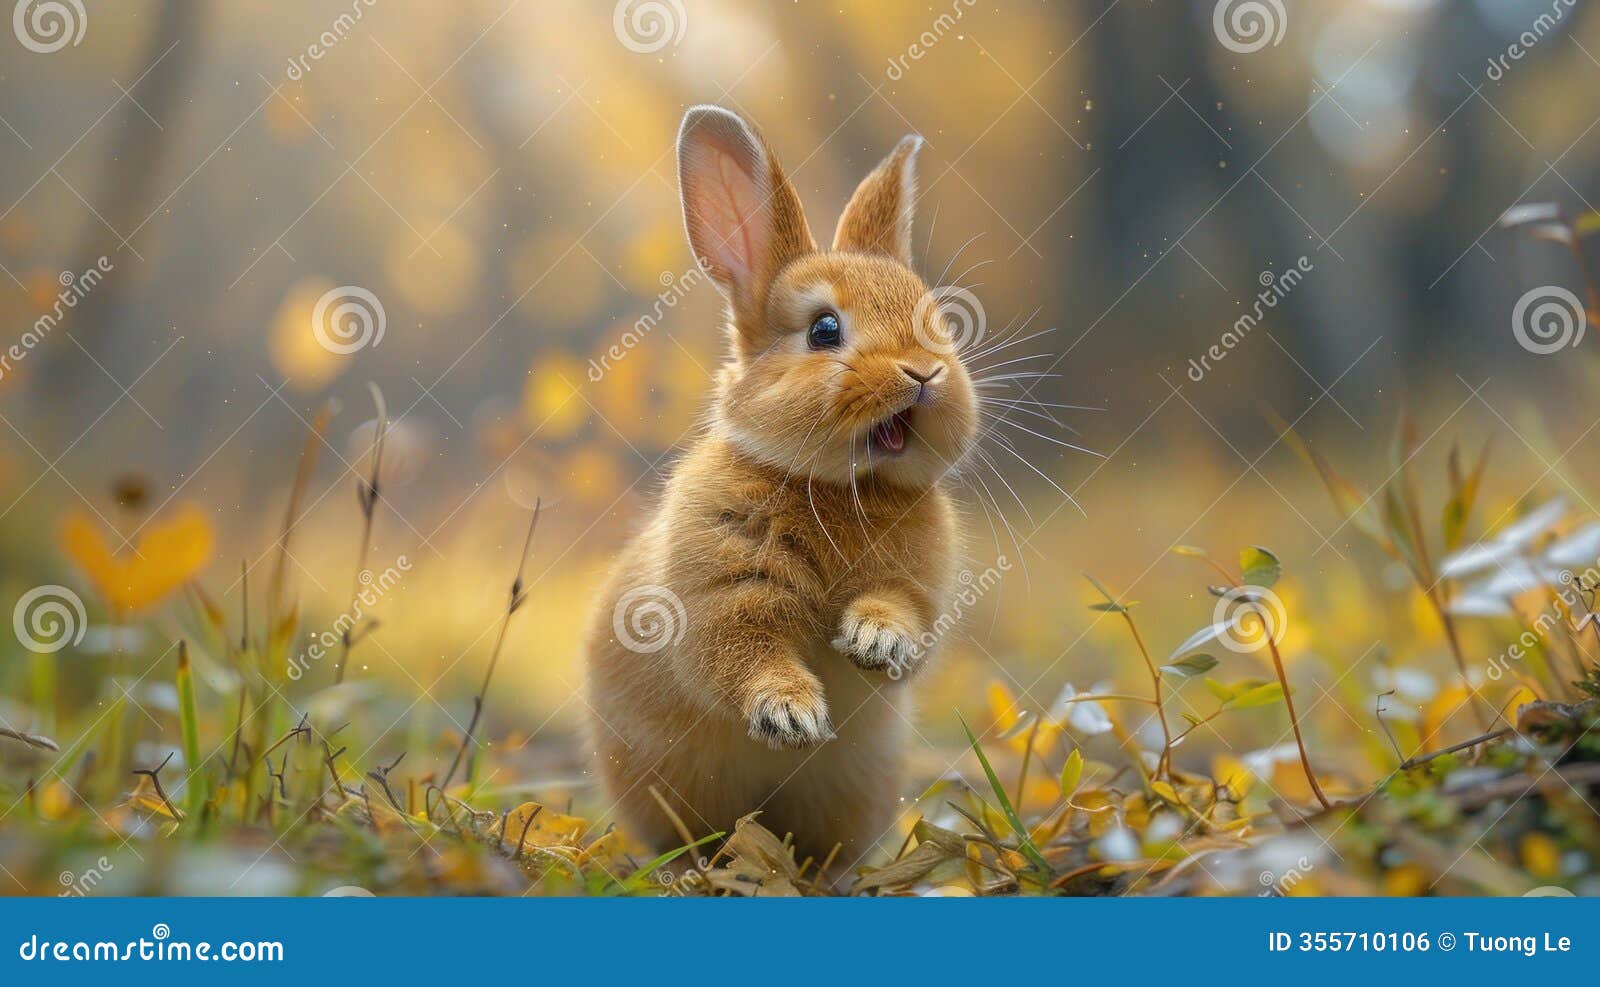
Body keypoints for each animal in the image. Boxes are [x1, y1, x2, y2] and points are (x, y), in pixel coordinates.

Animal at [584, 105, 979, 879]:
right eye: (825, 330)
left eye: (938, 321)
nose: (924, 374)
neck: (837, 486)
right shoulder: (725, 597)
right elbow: (747, 654)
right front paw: (793, 716)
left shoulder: (915, 585)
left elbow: (899, 613)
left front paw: (873, 642)